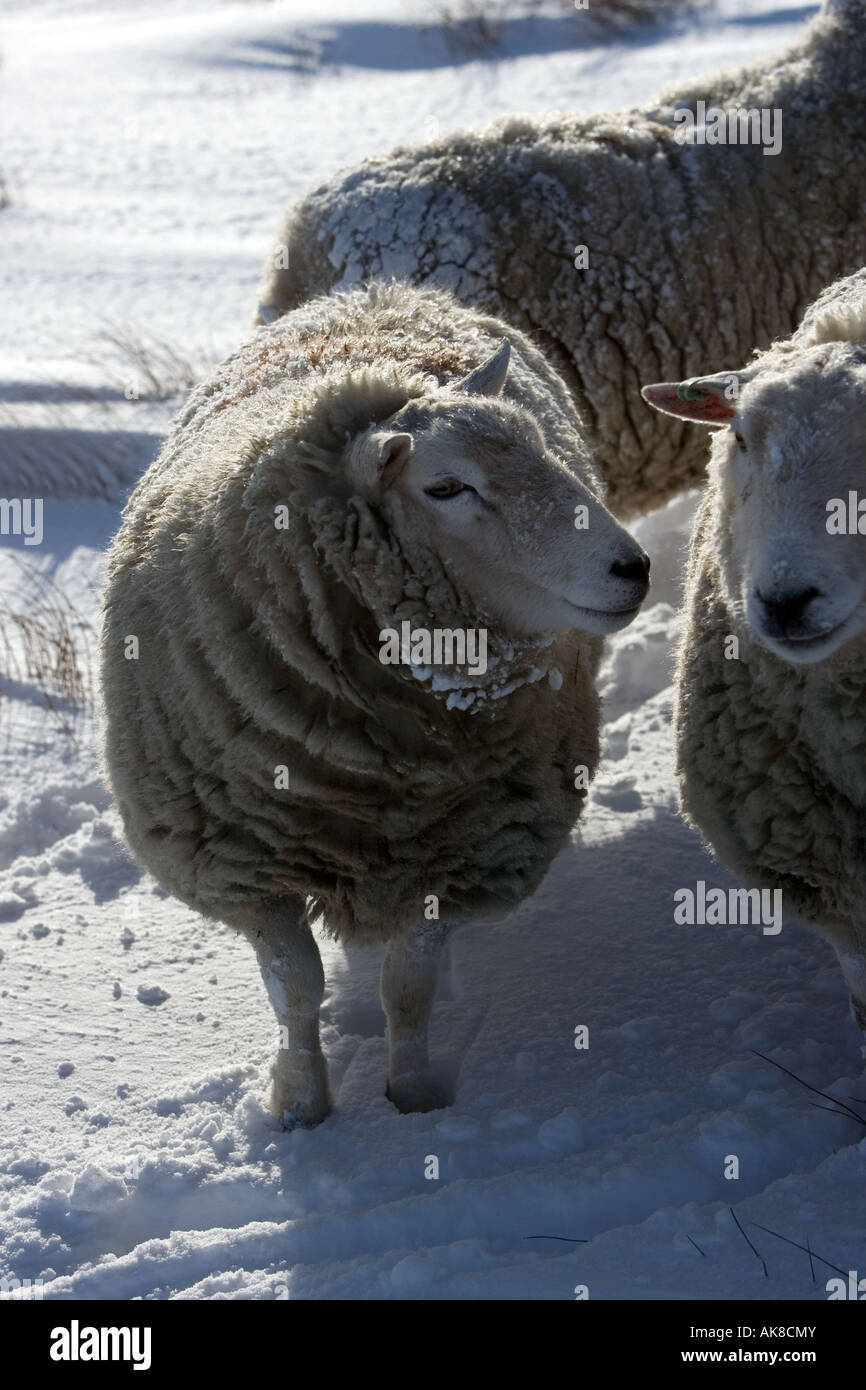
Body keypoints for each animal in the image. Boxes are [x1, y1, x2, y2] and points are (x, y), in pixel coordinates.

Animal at [100, 281, 650, 1127]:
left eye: (538, 448)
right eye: (446, 487)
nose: (633, 567)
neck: (373, 771)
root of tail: (384, 290)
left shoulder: (462, 850)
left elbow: (409, 988)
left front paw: (413, 1099)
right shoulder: (244, 866)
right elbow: (295, 990)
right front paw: (299, 1106)